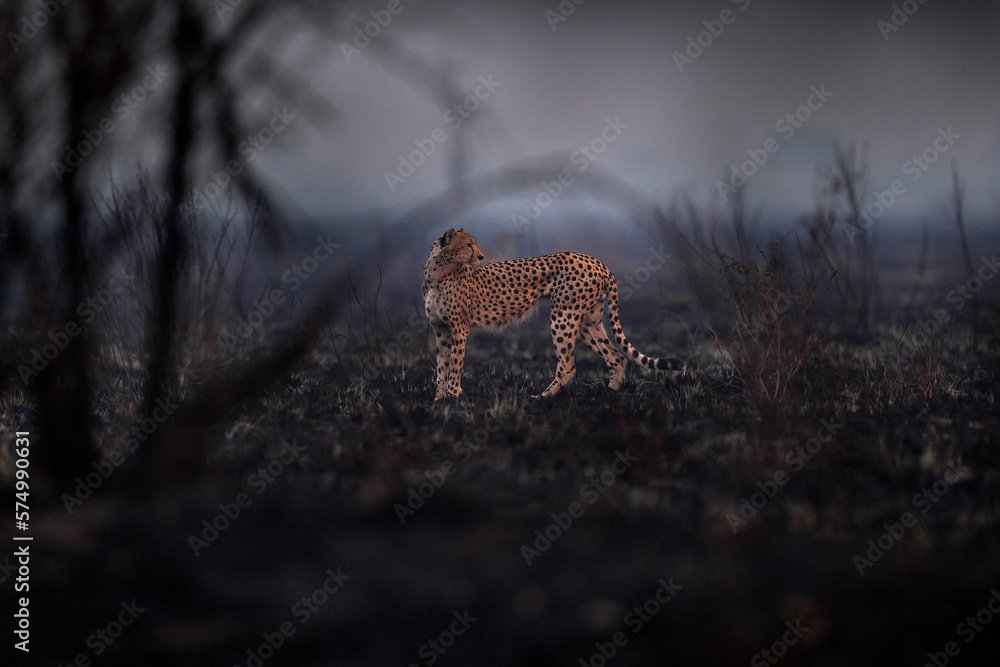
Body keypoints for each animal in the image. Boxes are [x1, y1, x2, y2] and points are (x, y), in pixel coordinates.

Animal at [422, 228, 685, 401]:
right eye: (468, 244)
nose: (480, 256)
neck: (438, 274)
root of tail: (597, 261)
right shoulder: (441, 329)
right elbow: (442, 366)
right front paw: (440, 400)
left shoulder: (459, 328)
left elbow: (454, 364)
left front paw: (453, 397)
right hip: (588, 322)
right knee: (616, 357)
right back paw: (609, 394)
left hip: (563, 316)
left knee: (568, 365)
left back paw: (544, 396)